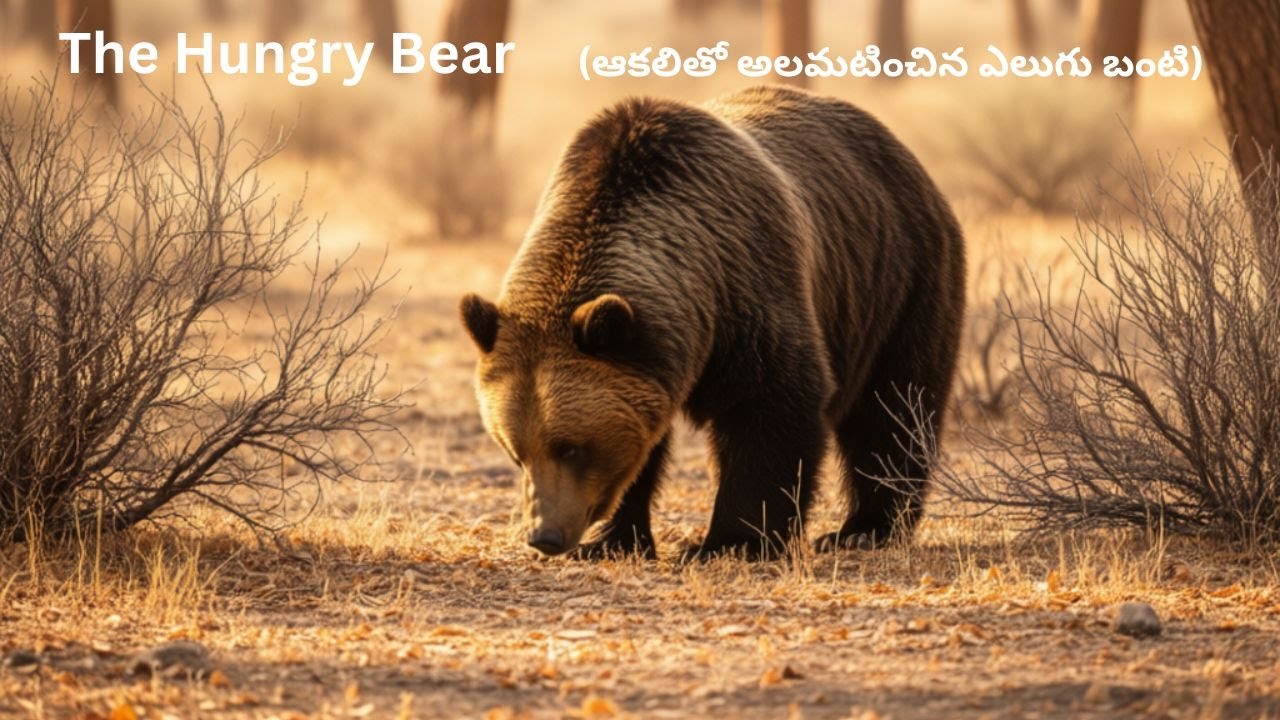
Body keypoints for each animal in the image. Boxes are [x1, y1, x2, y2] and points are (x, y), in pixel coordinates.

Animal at [460, 85, 965, 560]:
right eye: (515, 452)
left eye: (570, 447)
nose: (544, 536)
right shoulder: (651, 356)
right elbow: (645, 445)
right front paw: (611, 540)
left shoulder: (748, 292)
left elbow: (771, 411)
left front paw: (730, 542)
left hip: (899, 284)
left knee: (892, 409)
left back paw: (863, 529)